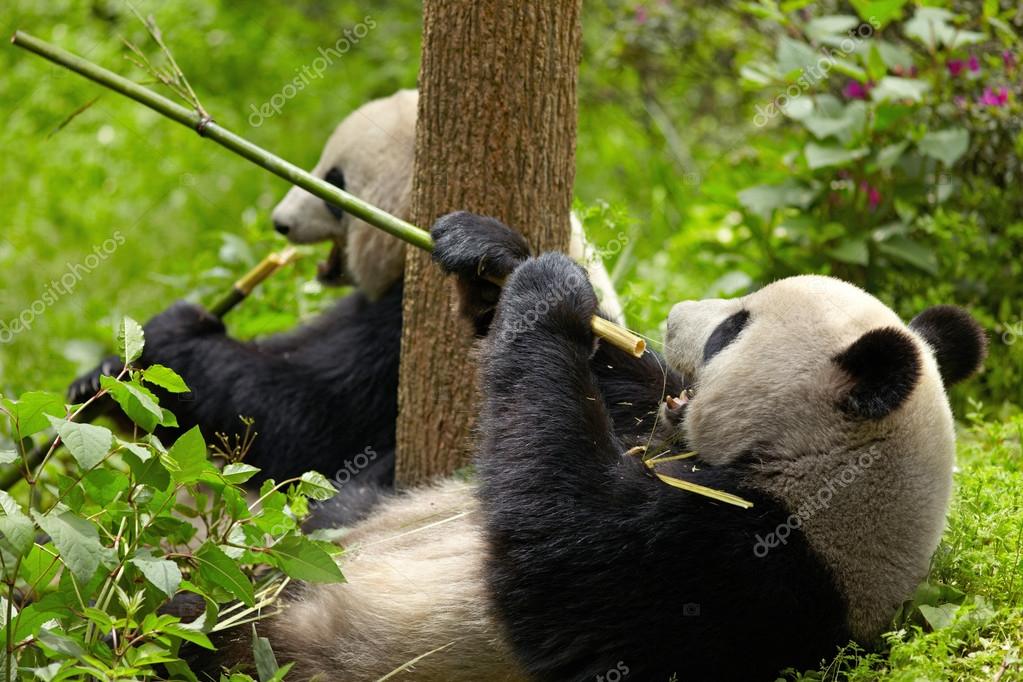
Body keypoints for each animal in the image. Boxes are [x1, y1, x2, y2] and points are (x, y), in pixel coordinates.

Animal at [184, 213, 986, 681]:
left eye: (733, 328)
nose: (673, 312)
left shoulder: (737, 562)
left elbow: (552, 533)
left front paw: (548, 292)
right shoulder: (651, 433)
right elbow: (616, 388)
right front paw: (493, 252)